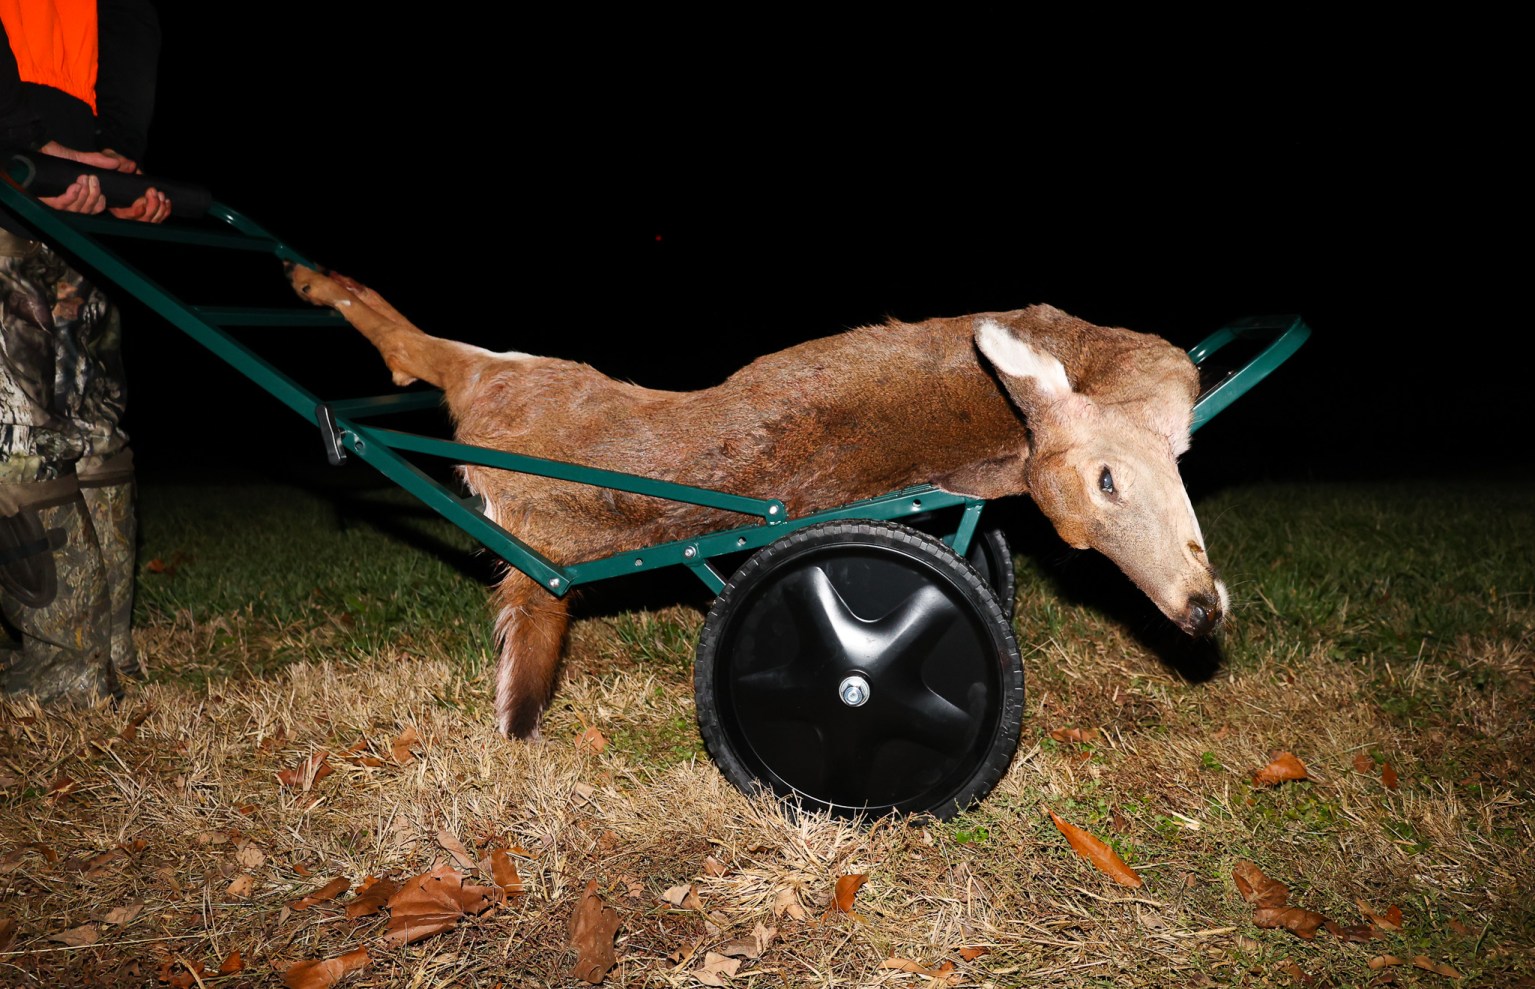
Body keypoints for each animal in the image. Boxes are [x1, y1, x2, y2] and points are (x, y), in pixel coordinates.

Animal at [286, 263, 1227, 739]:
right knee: (414, 344)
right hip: (521, 371)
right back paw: (310, 279)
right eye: (1104, 482)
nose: (1198, 611)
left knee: (418, 349)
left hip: (518, 378)